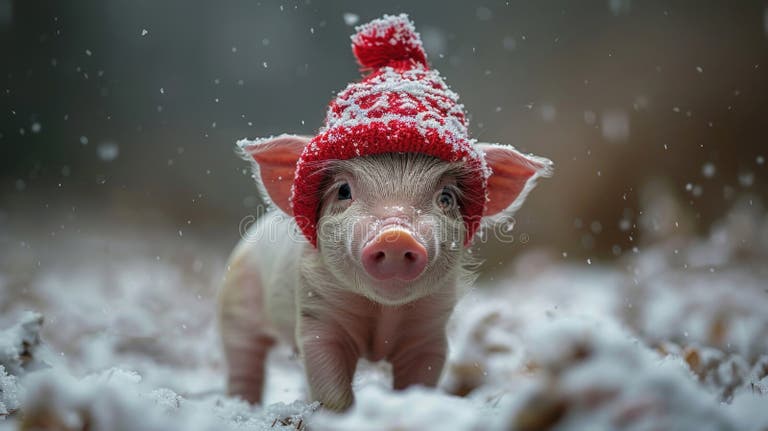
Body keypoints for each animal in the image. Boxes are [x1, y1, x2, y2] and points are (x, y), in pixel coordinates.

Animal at [218, 134, 551, 410]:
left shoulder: (430, 331)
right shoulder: (318, 318)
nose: (396, 235)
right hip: (236, 302)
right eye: (343, 191)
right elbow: (330, 385)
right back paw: (243, 406)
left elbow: (420, 378)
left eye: (446, 197)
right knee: (244, 359)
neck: (383, 315)